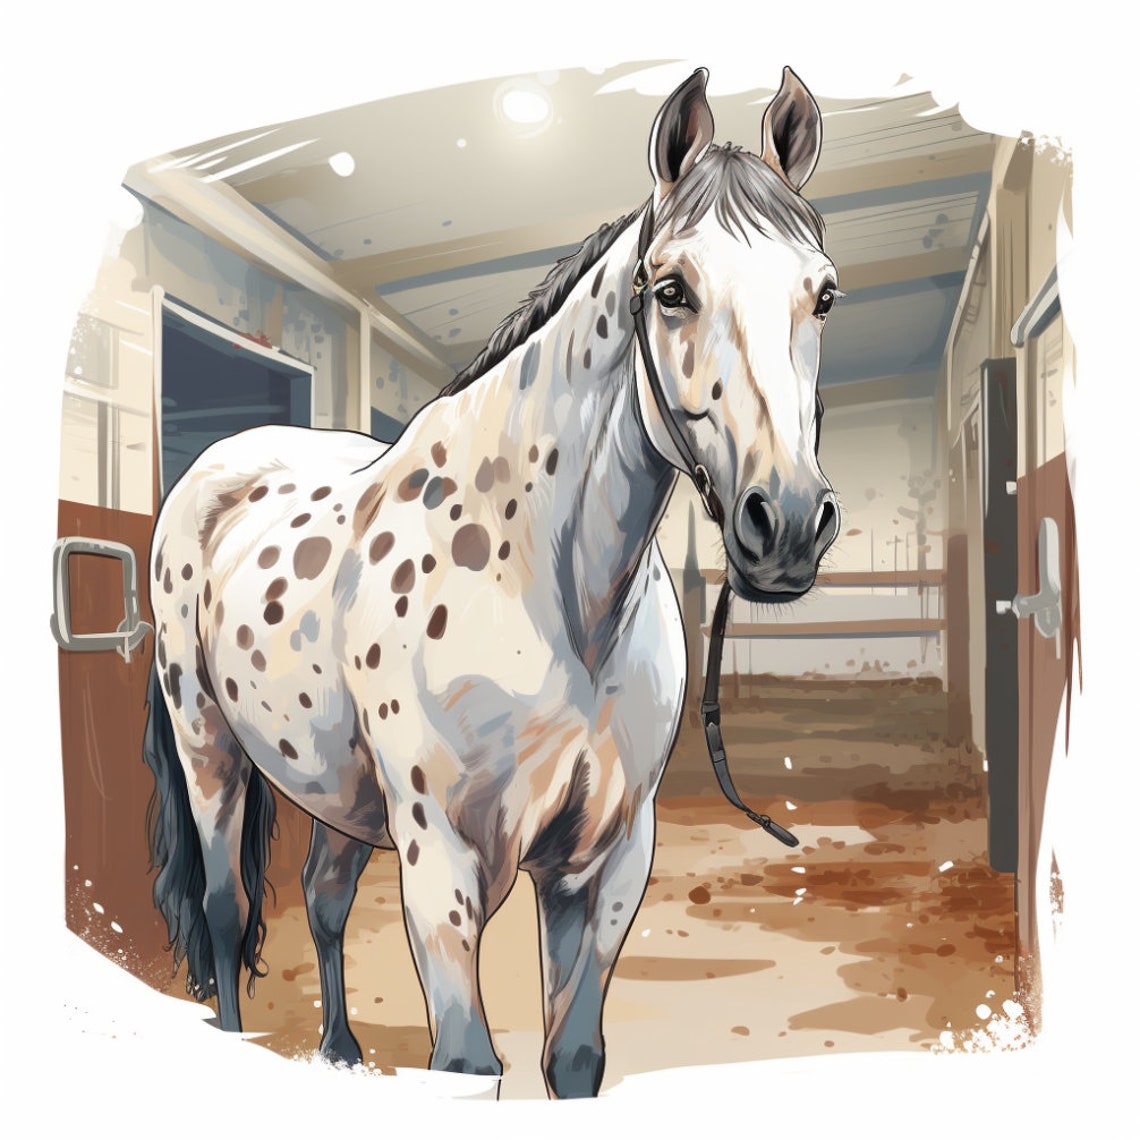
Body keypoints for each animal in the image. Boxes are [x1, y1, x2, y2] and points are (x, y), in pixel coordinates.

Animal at [142, 65, 841, 1099]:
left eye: (823, 296)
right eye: (672, 290)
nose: (787, 522)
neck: (553, 598)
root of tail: (218, 467)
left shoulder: (606, 866)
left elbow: (576, 1056)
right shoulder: (443, 868)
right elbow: (466, 1063)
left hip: (337, 792)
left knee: (322, 902)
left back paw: (341, 1053)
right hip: (211, 750)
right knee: (229, 915)